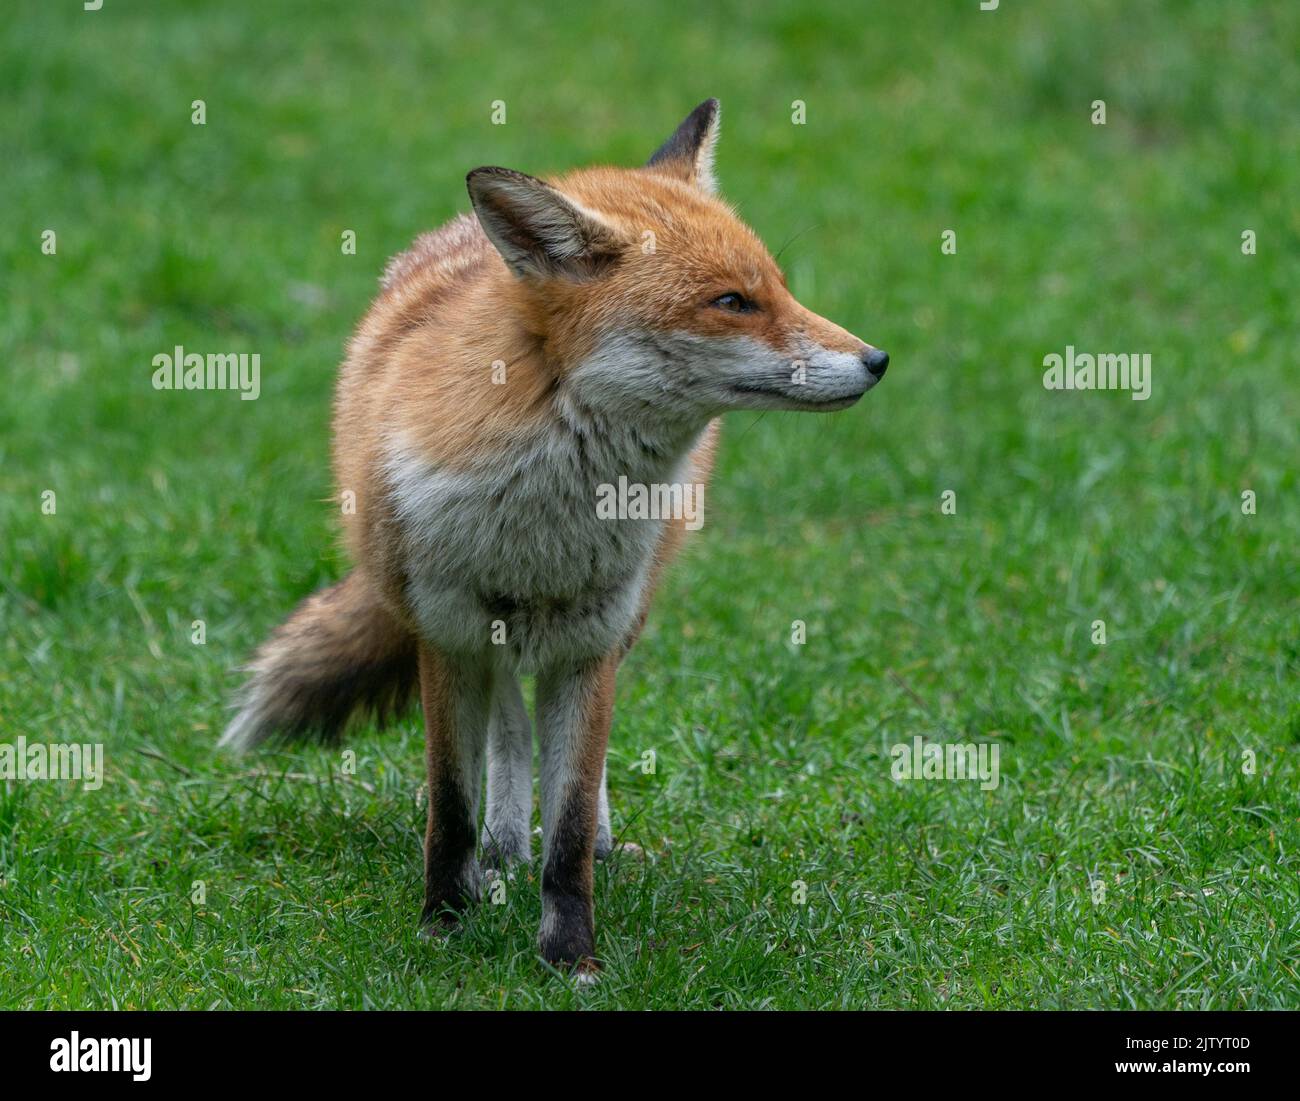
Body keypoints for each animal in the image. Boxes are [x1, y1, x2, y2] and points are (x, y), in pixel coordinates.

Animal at [221, 99, 889, 975]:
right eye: (732, 302)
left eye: (777, 286)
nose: (877, 359)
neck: (543, 517)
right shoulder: (447, 636)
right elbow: (453, 804)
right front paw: (446, 920)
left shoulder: (589, 643)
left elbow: (568, 823)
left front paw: (571, 954)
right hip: (485, 633)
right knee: (507, 731)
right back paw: (501, 852)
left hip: (618, 621)